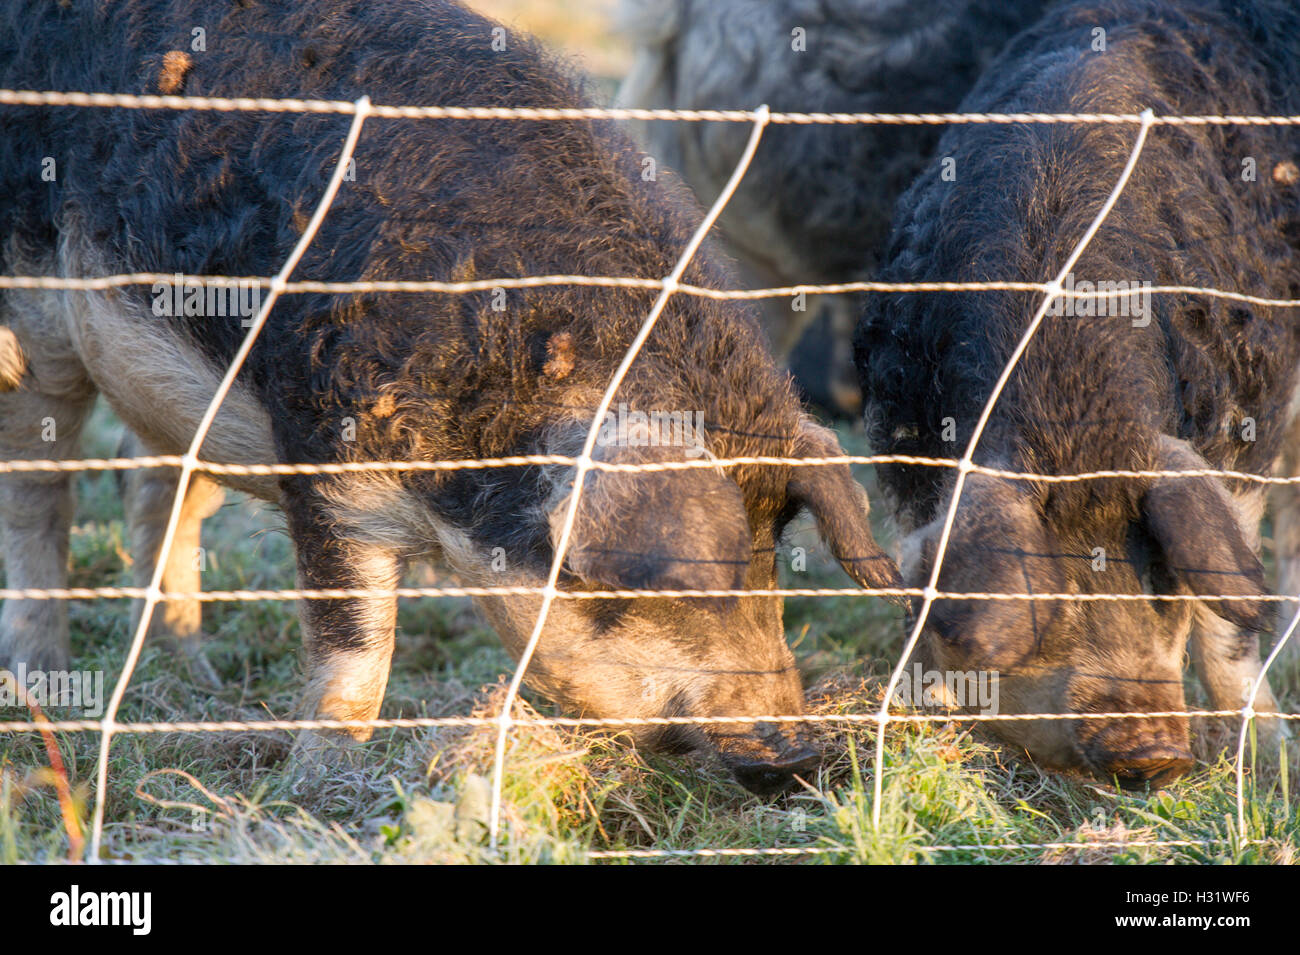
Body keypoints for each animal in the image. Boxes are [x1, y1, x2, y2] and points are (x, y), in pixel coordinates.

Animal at [0, 0, 901, 794]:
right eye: (684, 585)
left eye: (772, 555)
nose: (801, 750)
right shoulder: (327, 463)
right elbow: (358, 659)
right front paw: (320, 785)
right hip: (36, 316)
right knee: (41, 487)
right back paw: (43, 684)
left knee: (154, 483)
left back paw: (196, 669)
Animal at [855, 0, 1300, 787]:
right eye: (1051, 587)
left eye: (1159, 574)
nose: (1153, 748)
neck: (1070, 401)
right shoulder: (902, 434)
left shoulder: (1249, 411)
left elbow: (1226, 613)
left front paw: (1271, 767)